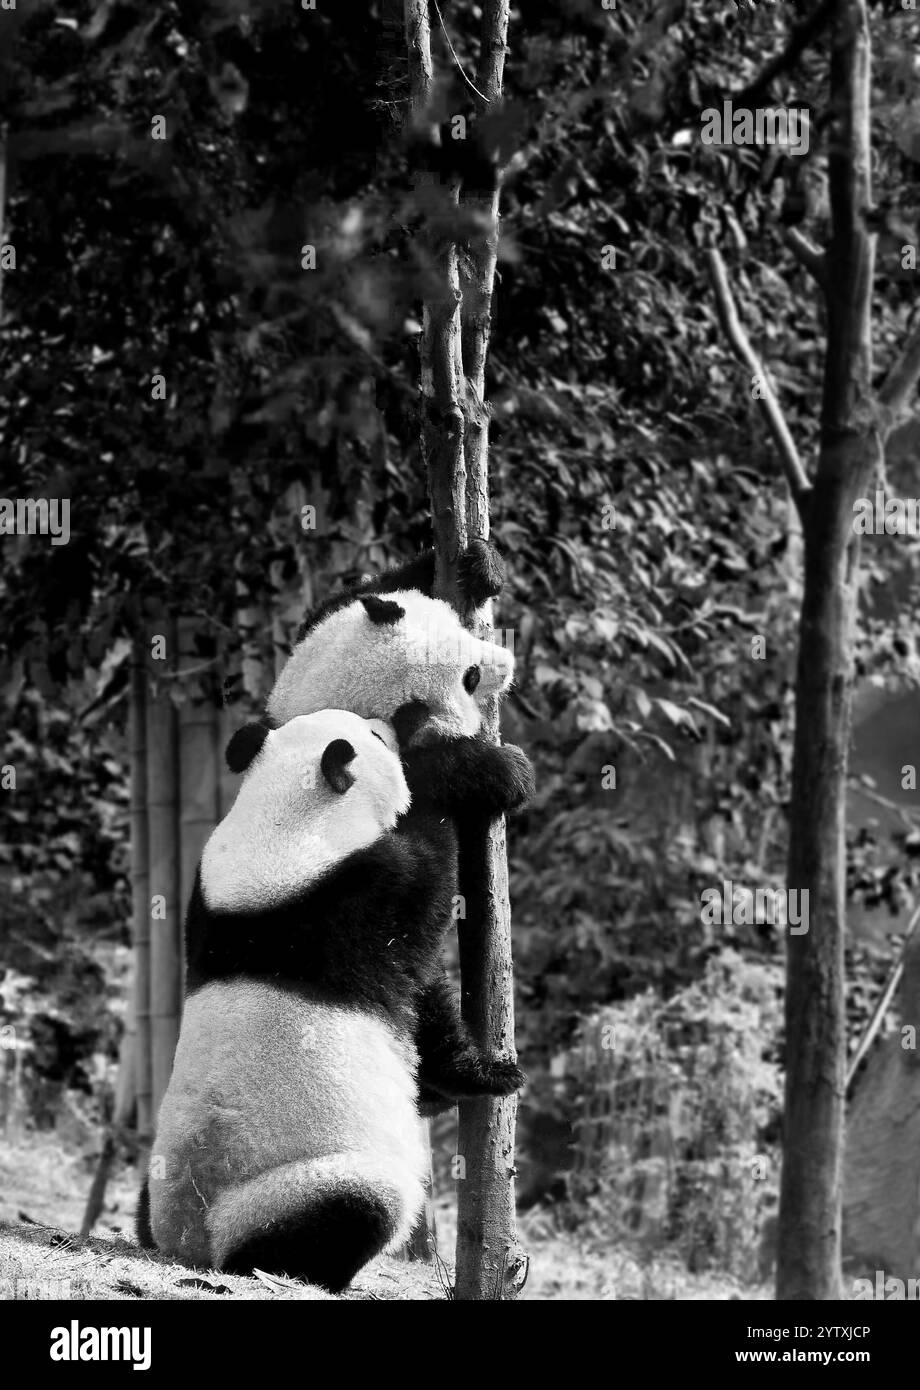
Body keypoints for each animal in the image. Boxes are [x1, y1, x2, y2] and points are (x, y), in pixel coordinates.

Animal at [142, 708, 465, 1292]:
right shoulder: (349, 899)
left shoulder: (203, 899)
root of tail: (186, 1241)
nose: (389, 723)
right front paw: (464, 769)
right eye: (375, 735)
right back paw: (316, 1273)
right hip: (294, 1187)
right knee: (350, 1207)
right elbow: (427, 881)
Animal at [265, 541, 534, 1113]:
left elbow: (382, 584)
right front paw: (505, 771)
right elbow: (423, 783)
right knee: (419, 994)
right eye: (470, 679)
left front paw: (481, 566)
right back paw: (468, 1075)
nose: (502, 665)